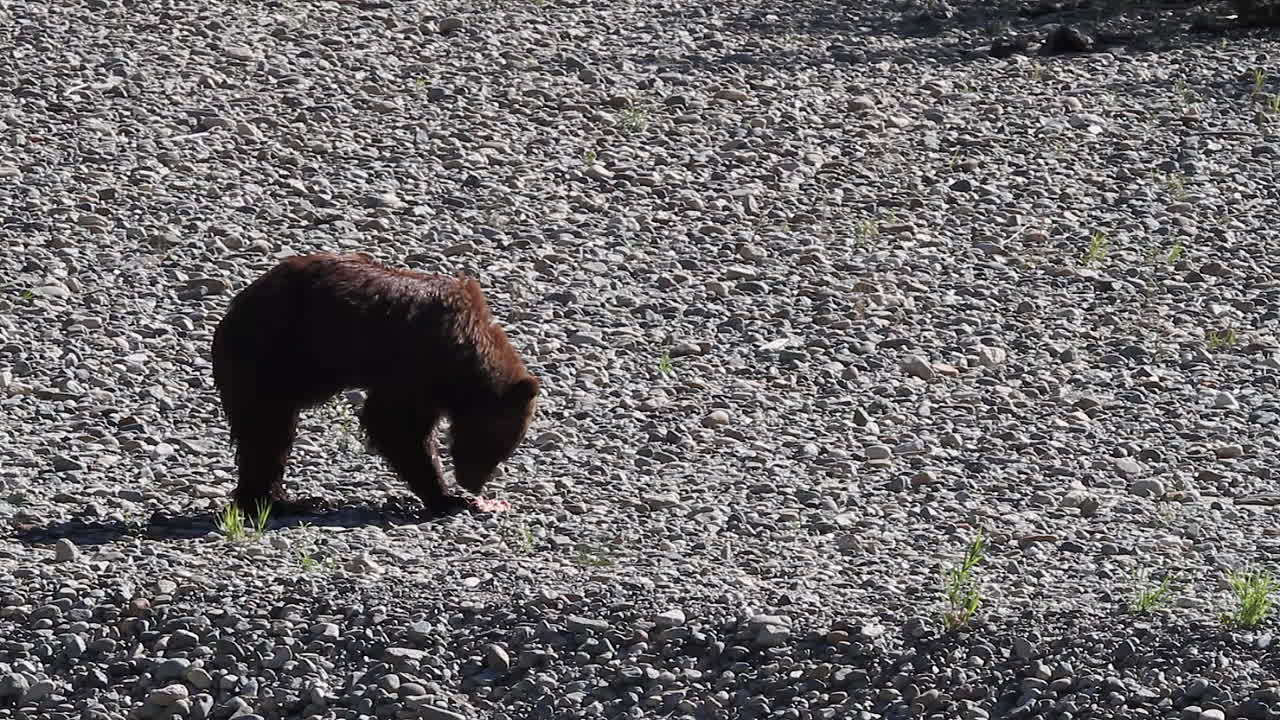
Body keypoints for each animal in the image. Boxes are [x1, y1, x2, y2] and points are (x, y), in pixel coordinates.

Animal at [209, 252, 540, 517]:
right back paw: (275, 502)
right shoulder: (418, 362)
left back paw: (284, 499)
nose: (474, 484)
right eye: (495, 445)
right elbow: (394, 423)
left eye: (503, 450)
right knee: (267, 431)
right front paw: (446, 497)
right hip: (270, 358)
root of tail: (230, 314)